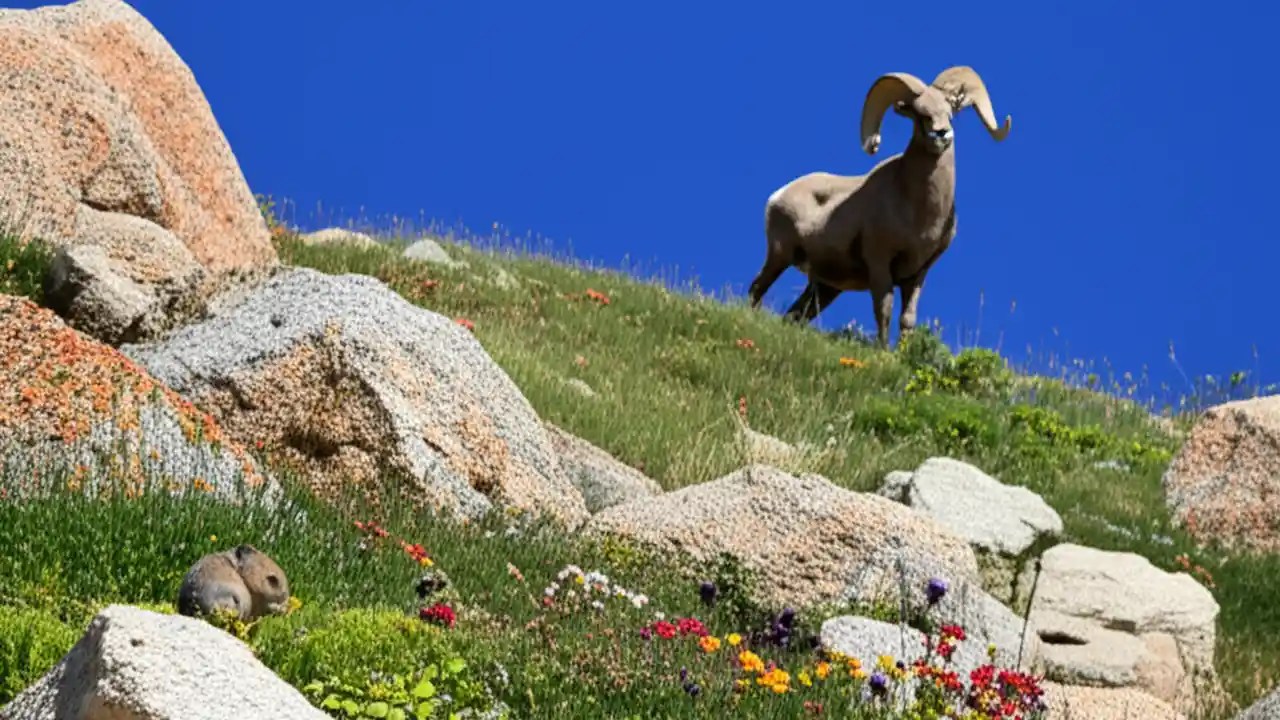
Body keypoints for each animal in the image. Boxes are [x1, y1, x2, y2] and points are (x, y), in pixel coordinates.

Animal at [747, 65, 1011, 348]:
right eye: (921, 114)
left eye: (950, 112)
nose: (942, 134)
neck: (920, 213)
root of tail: (777, 195)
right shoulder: (880, 264)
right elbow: (883, 310)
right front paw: (883, 351)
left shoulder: (917, 274)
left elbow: (907, 319)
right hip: (780, 255)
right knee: (757, 288)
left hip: (826, 287)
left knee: (794, 314)